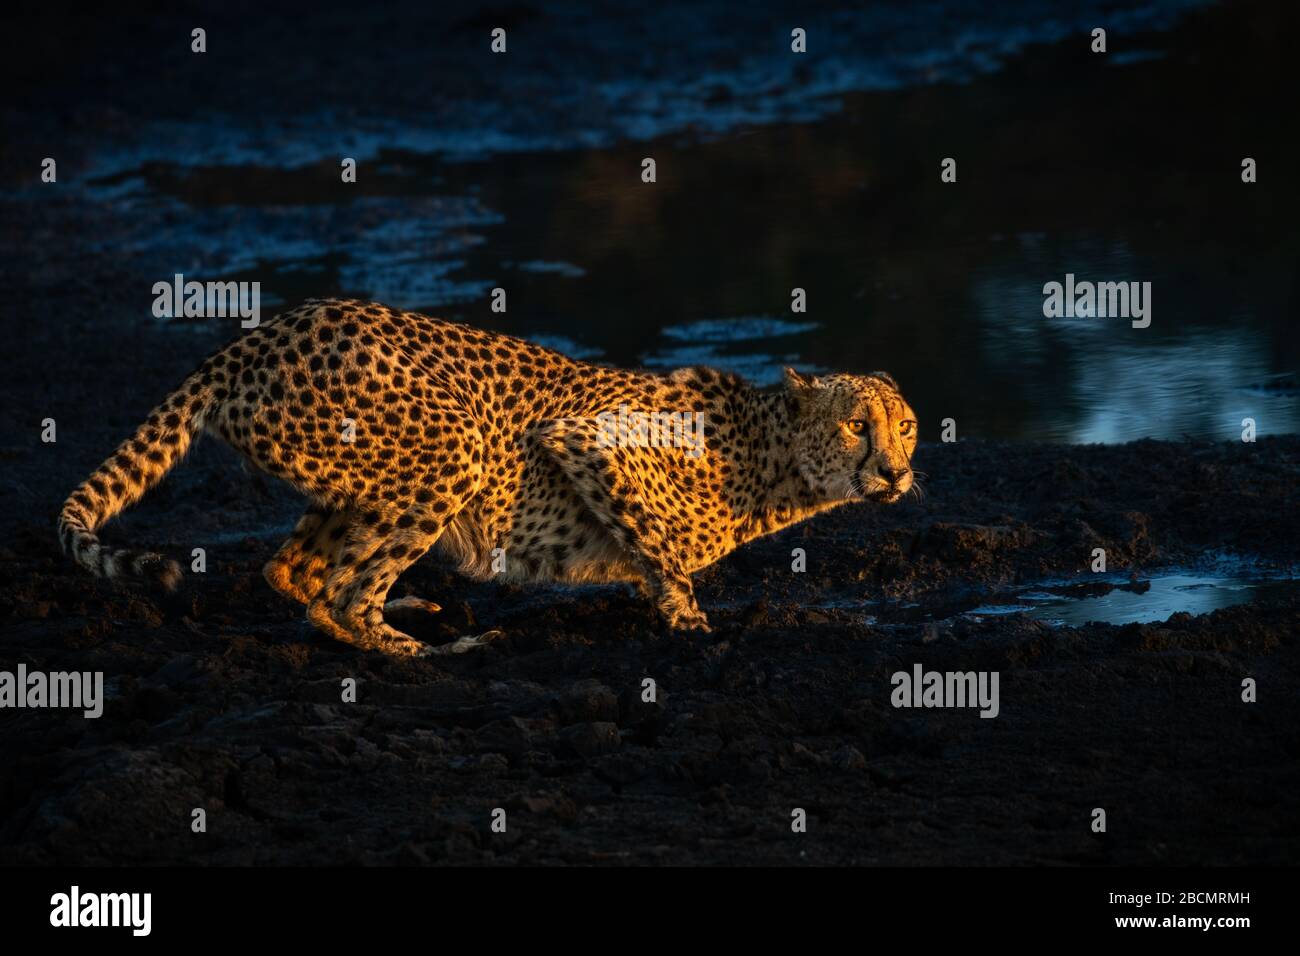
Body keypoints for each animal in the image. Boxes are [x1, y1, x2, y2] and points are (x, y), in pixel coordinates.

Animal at [57, 298, 919, 656]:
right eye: (856, 424)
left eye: (906, 426)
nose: (897, 471)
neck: (772, 457)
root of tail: (259, 334)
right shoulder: (584, 436)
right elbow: (660, 551)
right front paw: (689, 624)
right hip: (453, 446)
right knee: (336, 592)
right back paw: (425, 650)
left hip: (356, 472)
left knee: (294, 572)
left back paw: (397, 612)